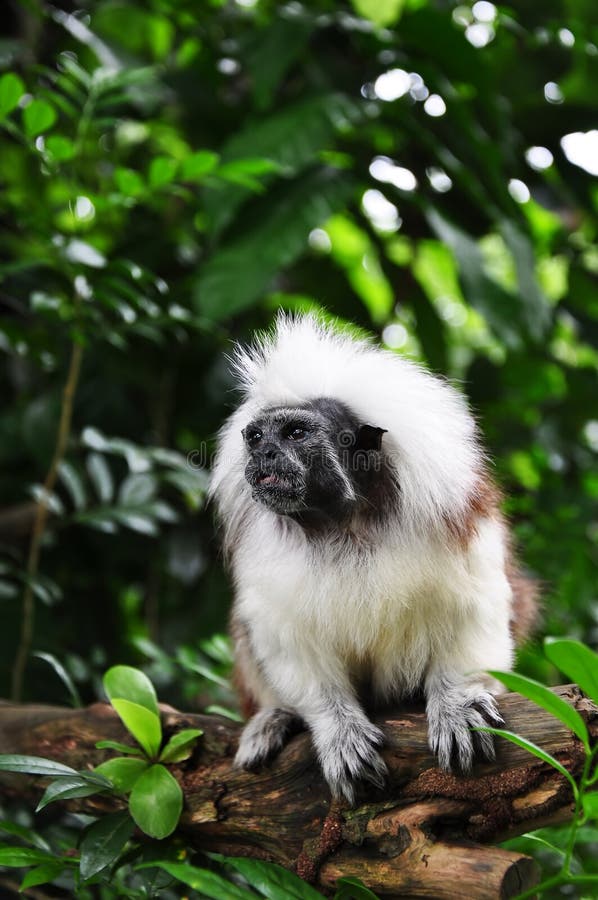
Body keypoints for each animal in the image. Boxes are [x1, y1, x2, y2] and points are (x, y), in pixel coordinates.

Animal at [210, 314, 538, 803]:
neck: (346, 523)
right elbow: (290, 642)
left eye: (295, 433)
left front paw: (457, 703)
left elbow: (475, 613)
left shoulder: (457, 522)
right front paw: (338, 731)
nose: (261, 451)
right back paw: (274, 717)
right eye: (255, 436)